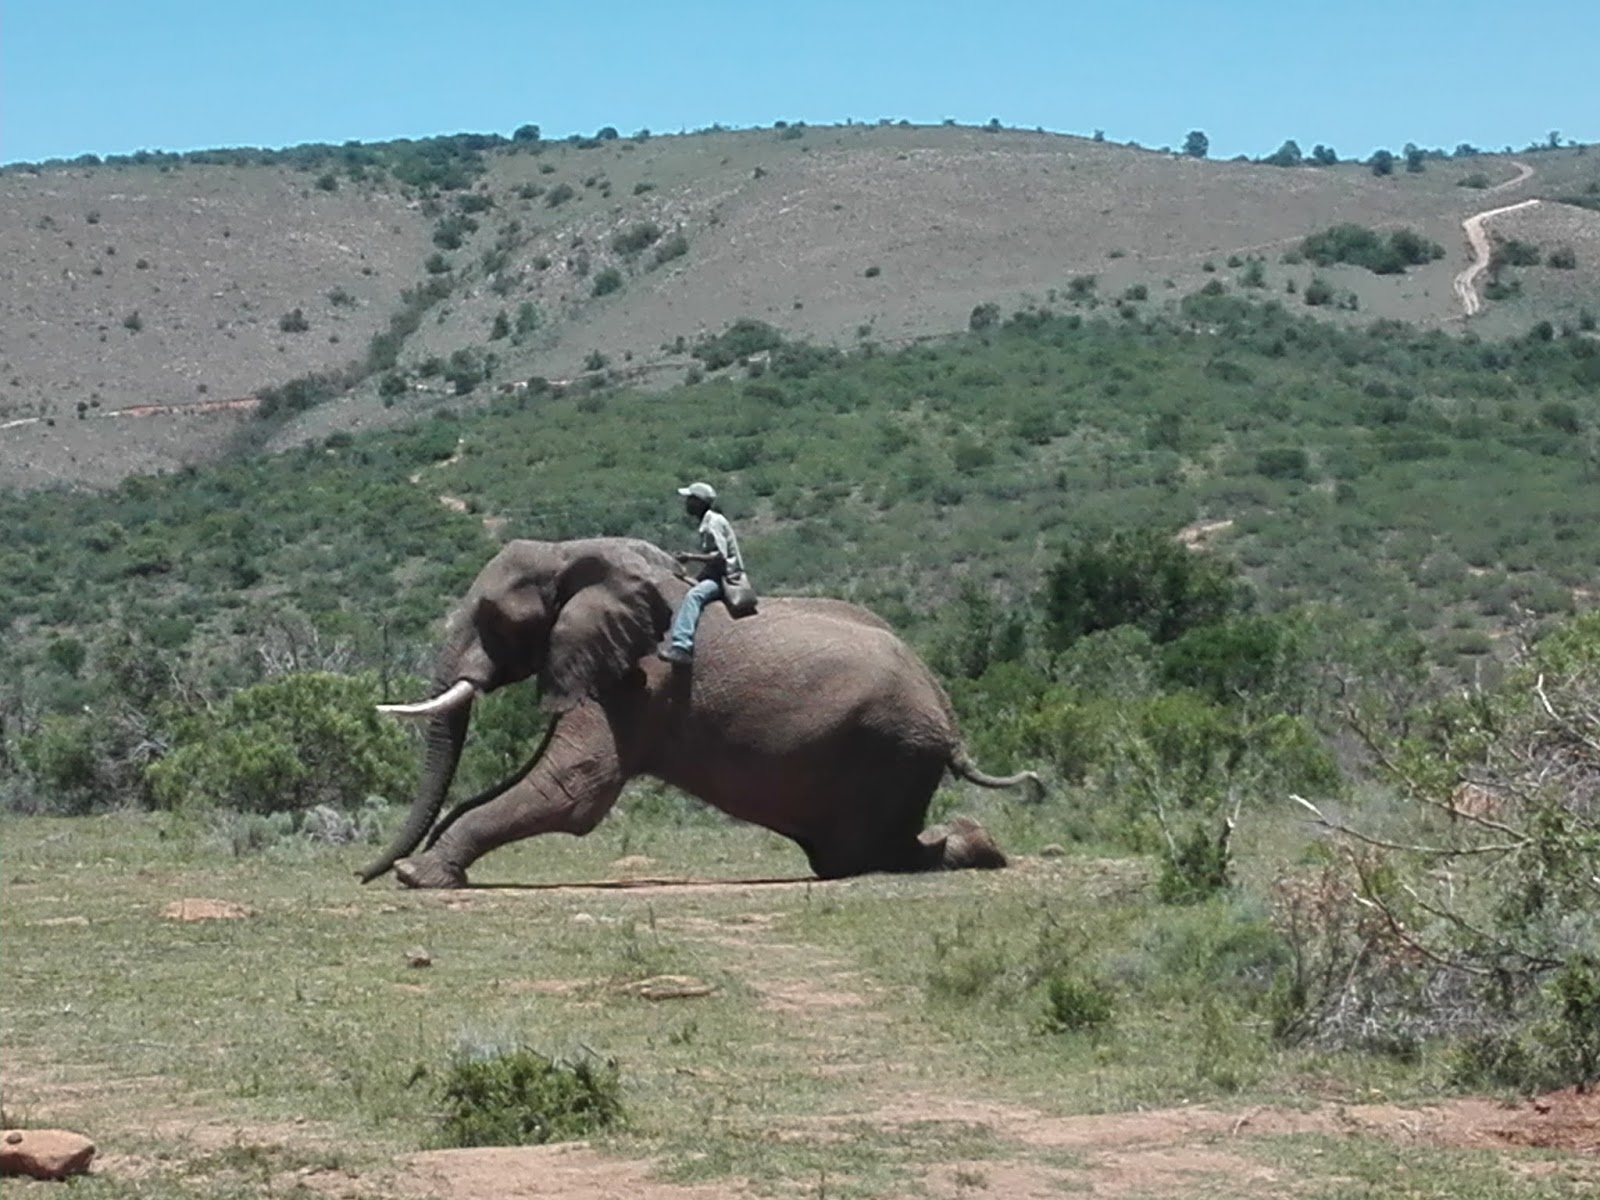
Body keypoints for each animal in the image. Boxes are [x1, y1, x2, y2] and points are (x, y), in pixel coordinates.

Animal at [359, 537, 1040, 888]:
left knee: (866, 853)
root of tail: (948, 717)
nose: (366, 874)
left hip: (889, 749)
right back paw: (979, 844)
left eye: (492, 618)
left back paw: (976, 846)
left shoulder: (638, 679)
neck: (575, 554)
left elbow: (571, 788)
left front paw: (419, 875)